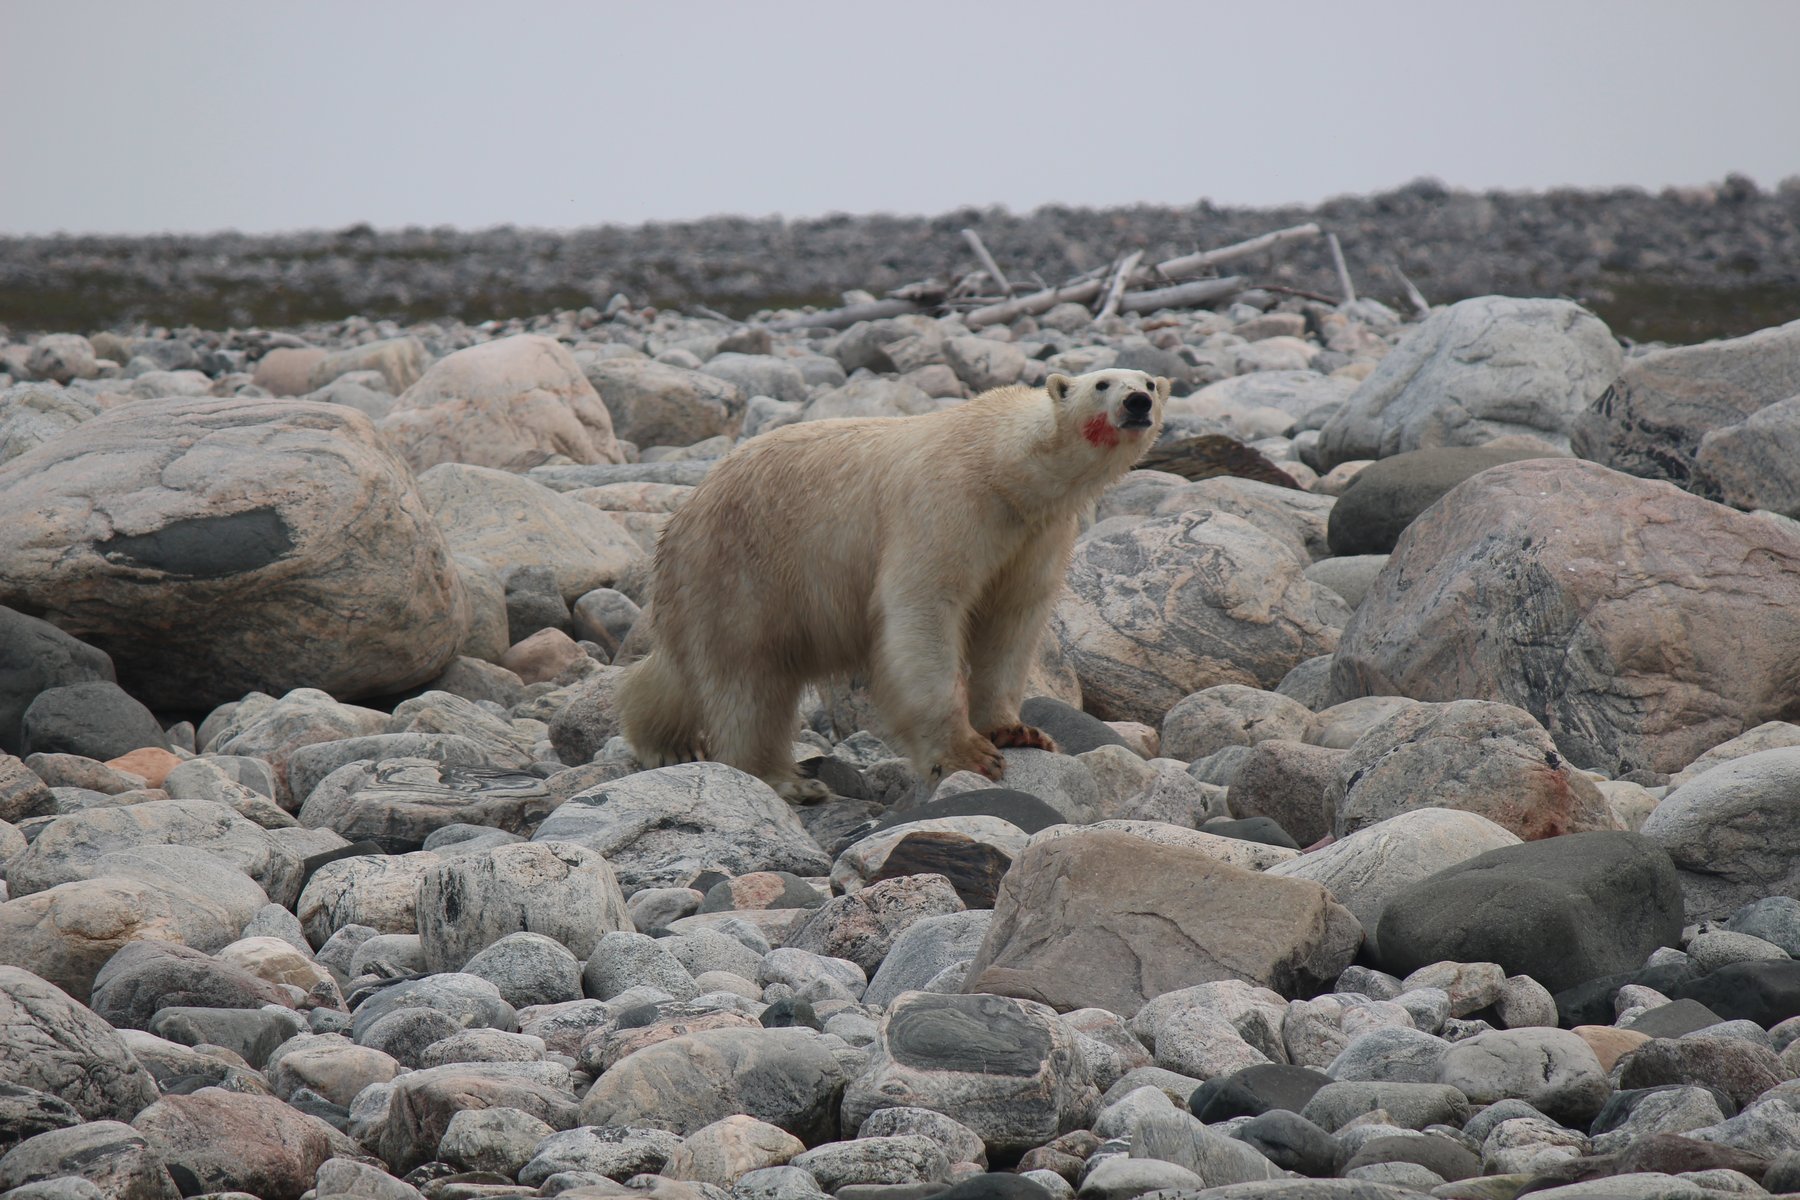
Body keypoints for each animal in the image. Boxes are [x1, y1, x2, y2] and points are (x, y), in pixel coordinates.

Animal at [616, 367, 1170, 799]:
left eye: (1148, 382)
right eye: (1101, 383)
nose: (1137, 401)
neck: (1001, 461)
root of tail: (684, 514)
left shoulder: (1037, 534)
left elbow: (1012, 620)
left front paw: (1017, 731)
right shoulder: (946, 505)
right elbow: (926, 608)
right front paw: (967, 753)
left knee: (688, 673)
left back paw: (668, 741)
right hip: (741, 568)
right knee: (747, 679)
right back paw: (786, 779)